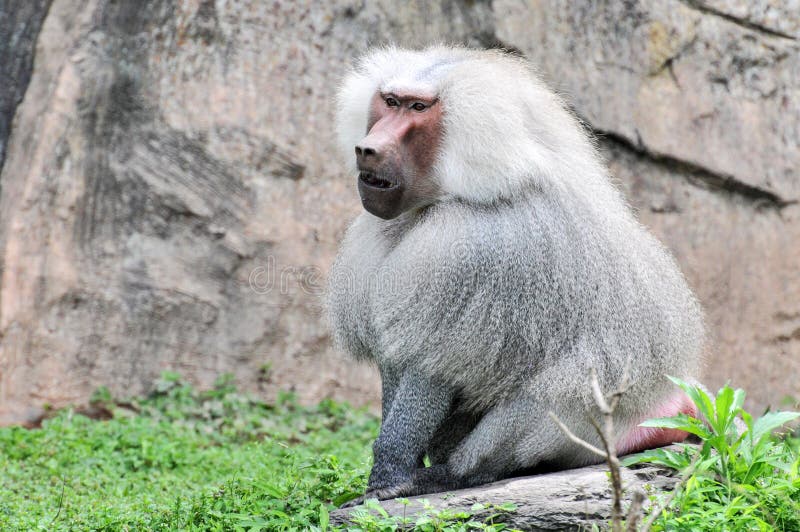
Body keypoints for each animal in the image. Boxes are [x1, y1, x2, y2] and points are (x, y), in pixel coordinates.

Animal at [326, 45, 704, 506]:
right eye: (390, 101)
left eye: (418, 108)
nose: (367, 149)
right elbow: (396, 357)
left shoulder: (470, 251)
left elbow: (432, 364)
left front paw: (390, 476)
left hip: (594, 425)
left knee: (554, 395)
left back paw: (453, 476)